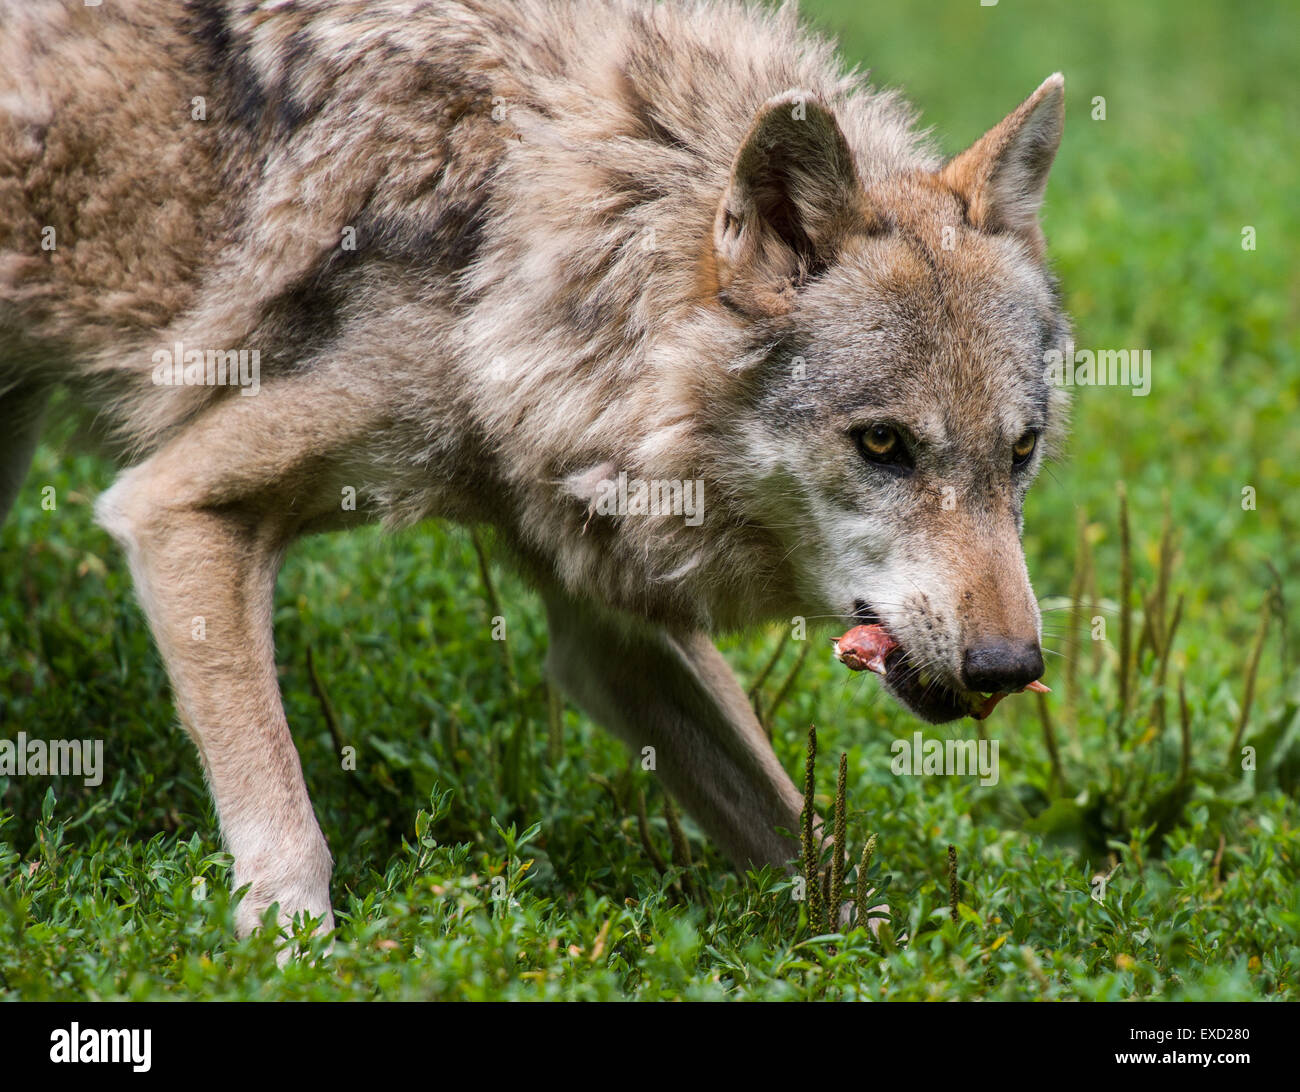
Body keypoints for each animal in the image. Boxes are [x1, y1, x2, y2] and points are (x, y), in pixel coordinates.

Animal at [0, 0, 1068, 939]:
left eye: (1020, 452)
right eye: (882, 444)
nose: (1011, 668)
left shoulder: (610, 621)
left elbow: (809, 838)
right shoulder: (178, 504)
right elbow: (280, 804)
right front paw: (292, 945)